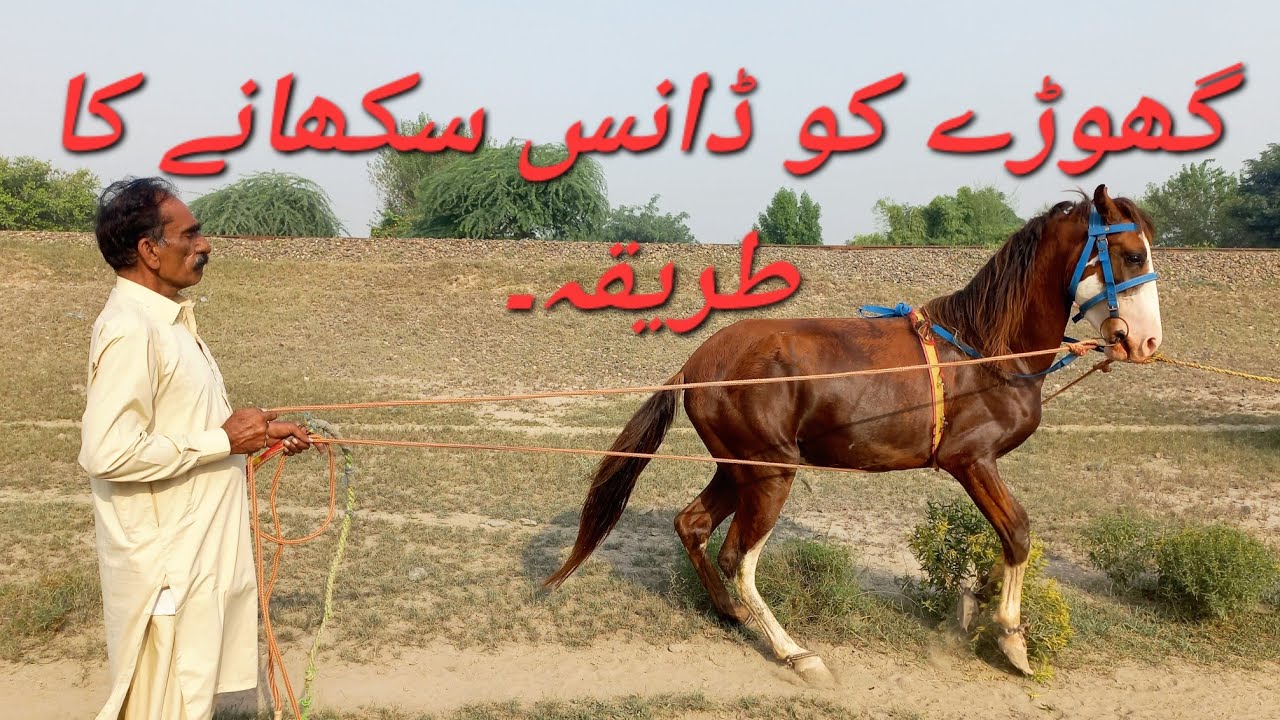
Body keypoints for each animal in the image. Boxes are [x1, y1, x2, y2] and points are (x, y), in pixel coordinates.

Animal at [543, 184, 1163, 685]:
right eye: (1132, 254)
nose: (1147, 343)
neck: (986, 350)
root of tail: (696, 364)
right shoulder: (973, 461)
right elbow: (1017, 533)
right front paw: (1011, 639)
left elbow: (1004, 542)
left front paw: (978, 607)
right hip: (770, 475)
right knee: (738, 557)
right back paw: (796, 654)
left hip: (739, 470)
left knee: (691, 525)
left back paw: (732, 615)